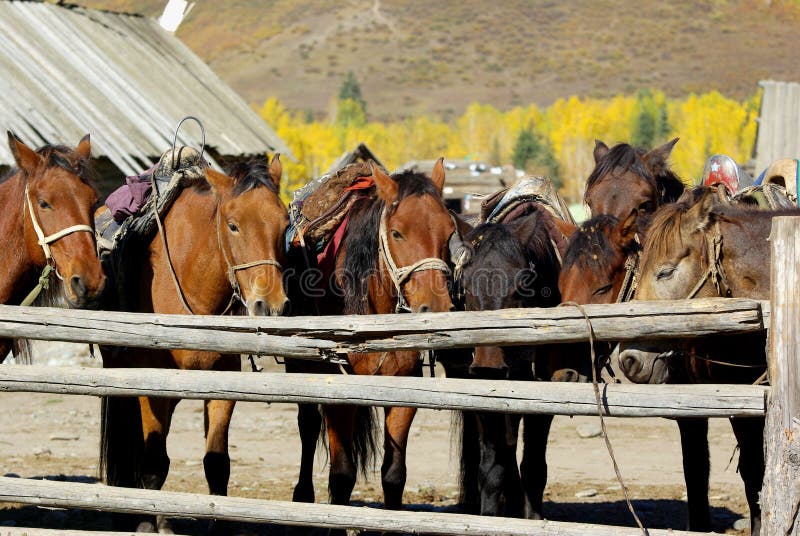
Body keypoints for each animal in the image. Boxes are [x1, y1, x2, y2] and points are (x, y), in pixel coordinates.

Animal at [99, 155, 289, 533]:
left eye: (284, 223)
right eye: (233, 225)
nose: (270, 305)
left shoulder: (223, 383)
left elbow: (217, 462)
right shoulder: (151, 386)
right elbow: (154, 461)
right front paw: (152, 524)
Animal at [286, 160, 458, 519]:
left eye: (449, 232)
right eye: (397, 232)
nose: (435, 308)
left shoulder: (405, 386)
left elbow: (393, 475)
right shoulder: (339, 393)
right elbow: (341, 475)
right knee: (307, 424)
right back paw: (302, 495)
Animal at [453, 206, 590, 519]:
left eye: (522, 286)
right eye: (466, 284)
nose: (488, 365)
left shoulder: (542, 392)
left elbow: (533, 468)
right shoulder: (480, 393)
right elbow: (492, 468)